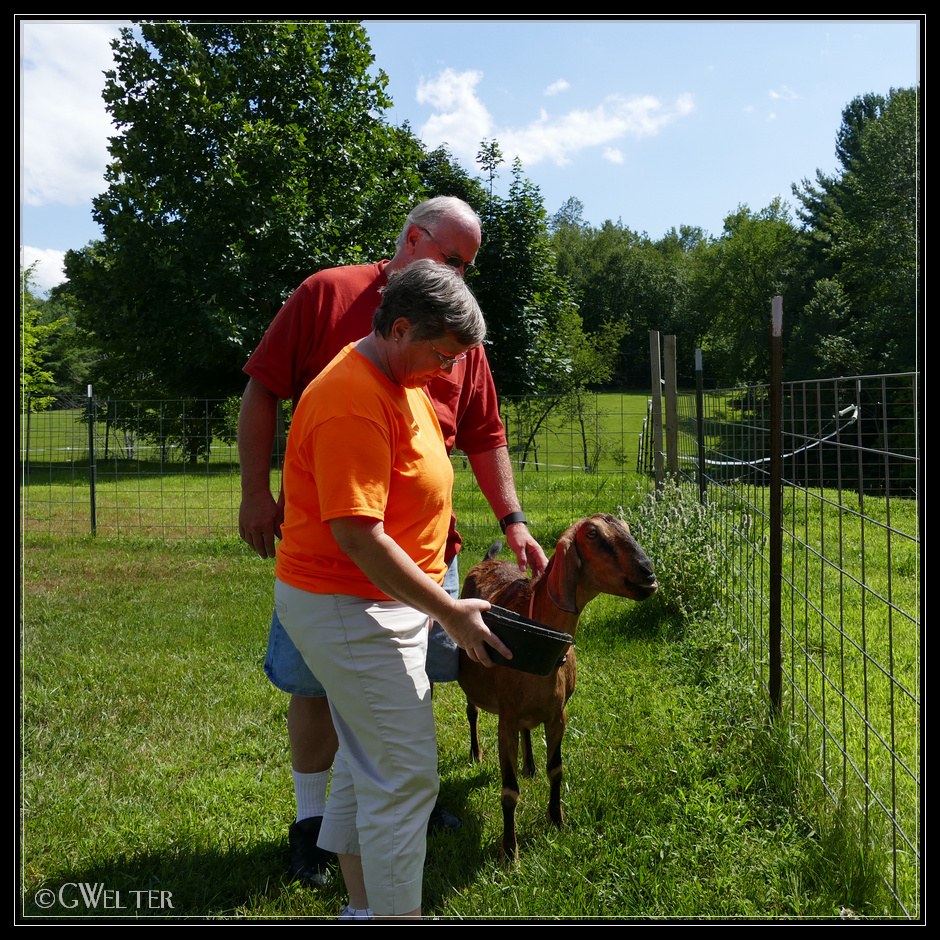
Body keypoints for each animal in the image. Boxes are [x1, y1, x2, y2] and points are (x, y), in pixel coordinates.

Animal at [458, 513, 658, 861]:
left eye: (627, 528)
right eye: (592, 534)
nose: (648, 573)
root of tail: (487, 560)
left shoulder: (558, 715)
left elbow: (557, 769)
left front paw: (557, 820)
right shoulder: (506, 721)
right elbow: (509, 791)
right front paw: (509, 850)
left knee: (527, 732)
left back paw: (529, 765)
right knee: (472, 713)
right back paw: (476, 754)